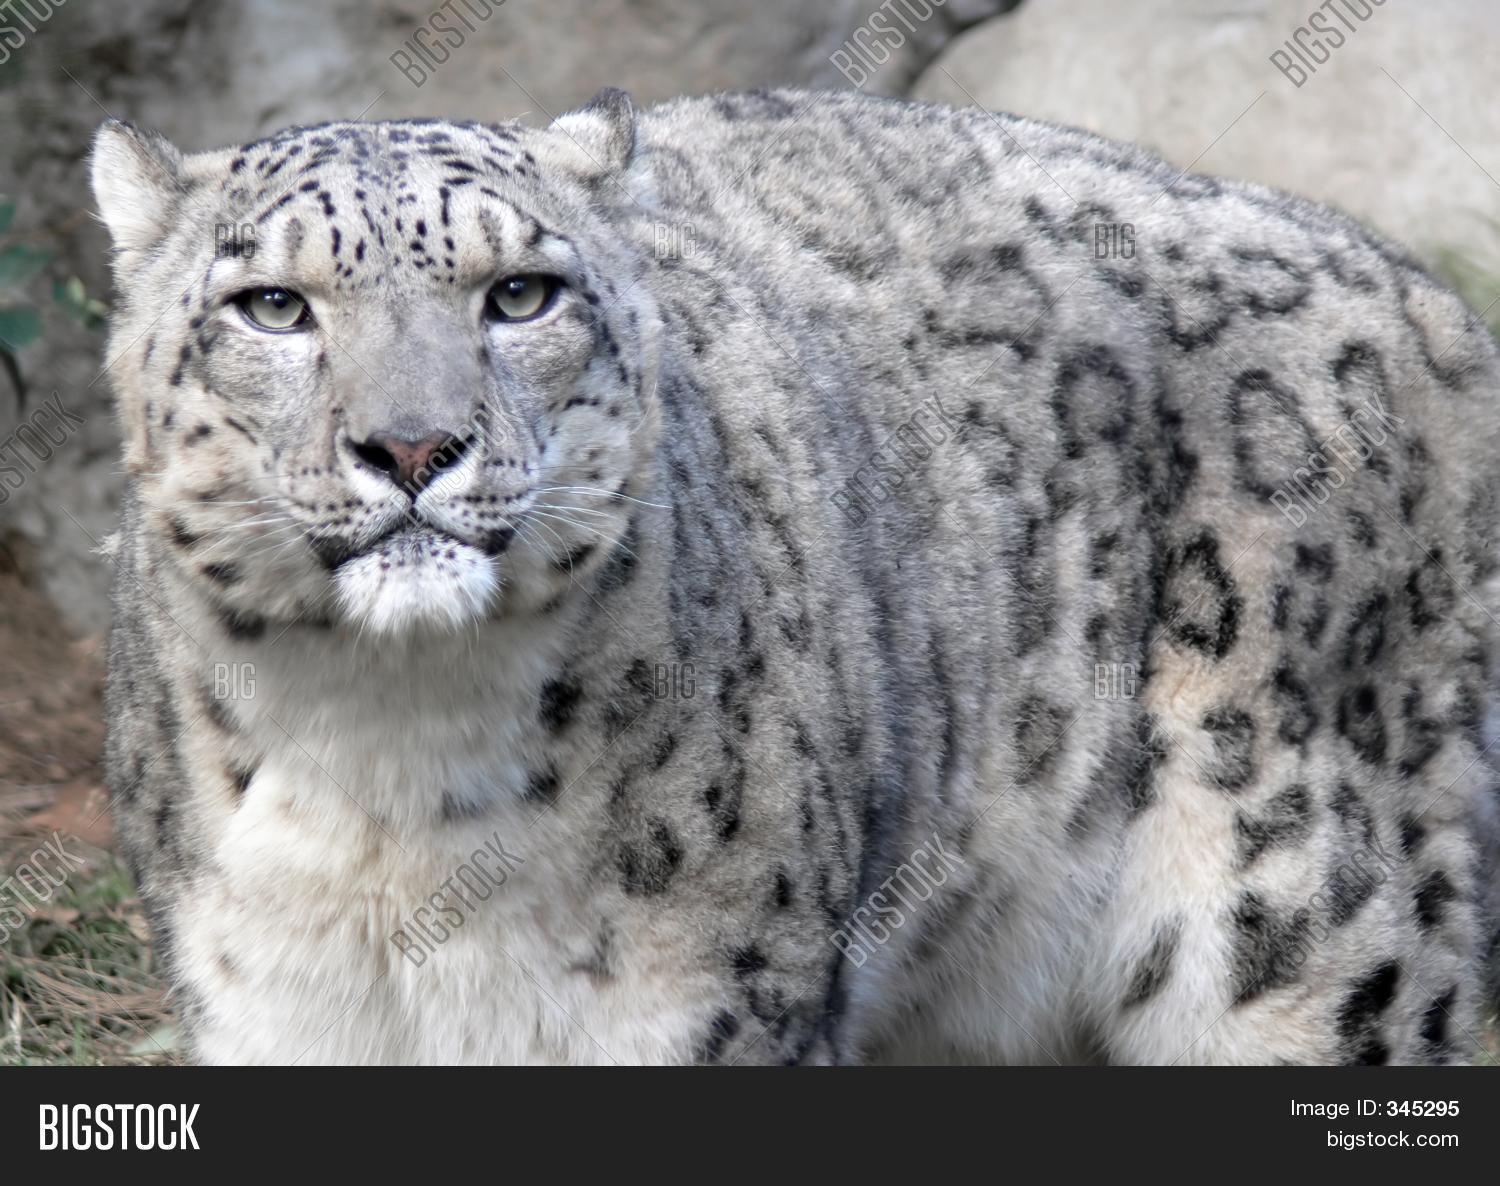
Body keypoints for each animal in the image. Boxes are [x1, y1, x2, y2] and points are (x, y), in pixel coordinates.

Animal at [90, 85, 1500, 1064]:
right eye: (274, 307)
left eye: (522, 295)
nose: (414, 445)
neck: (387, 765)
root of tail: (1430, 296)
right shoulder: (277, 1015)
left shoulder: (708, 1007)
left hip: (1312, 926)